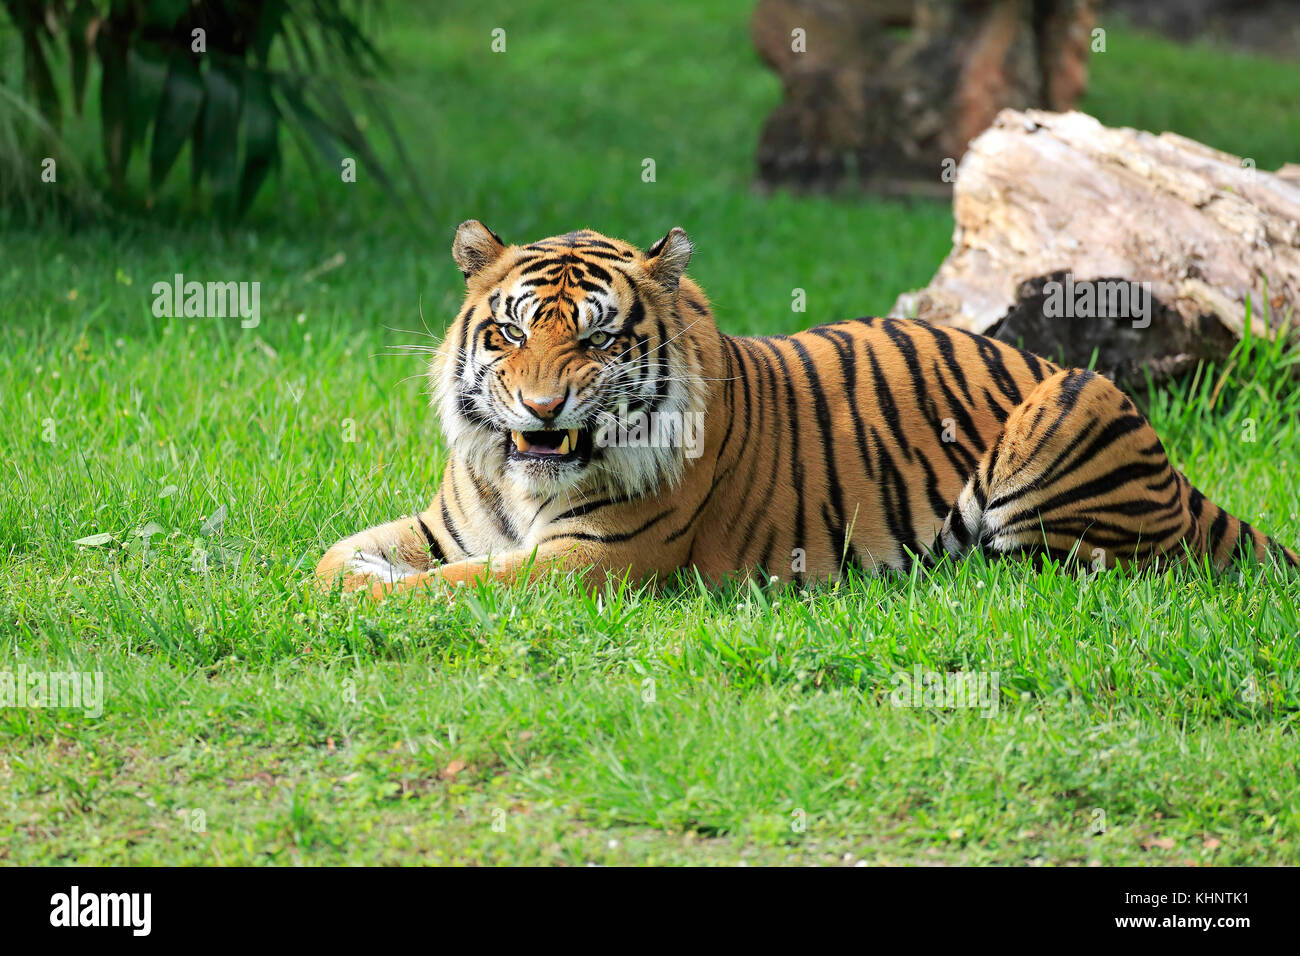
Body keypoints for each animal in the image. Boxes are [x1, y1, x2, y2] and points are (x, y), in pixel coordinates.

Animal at [315, 221, 1298, 599]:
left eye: (597, 341)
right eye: (513, 334)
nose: (540, 404)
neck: (522, 485)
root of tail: (1180, 474)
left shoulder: (592, 560)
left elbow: (447, 590)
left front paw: (379, 595)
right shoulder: (450, 524)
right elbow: (332, 562)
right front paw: (350, 578)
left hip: (1073, 404)